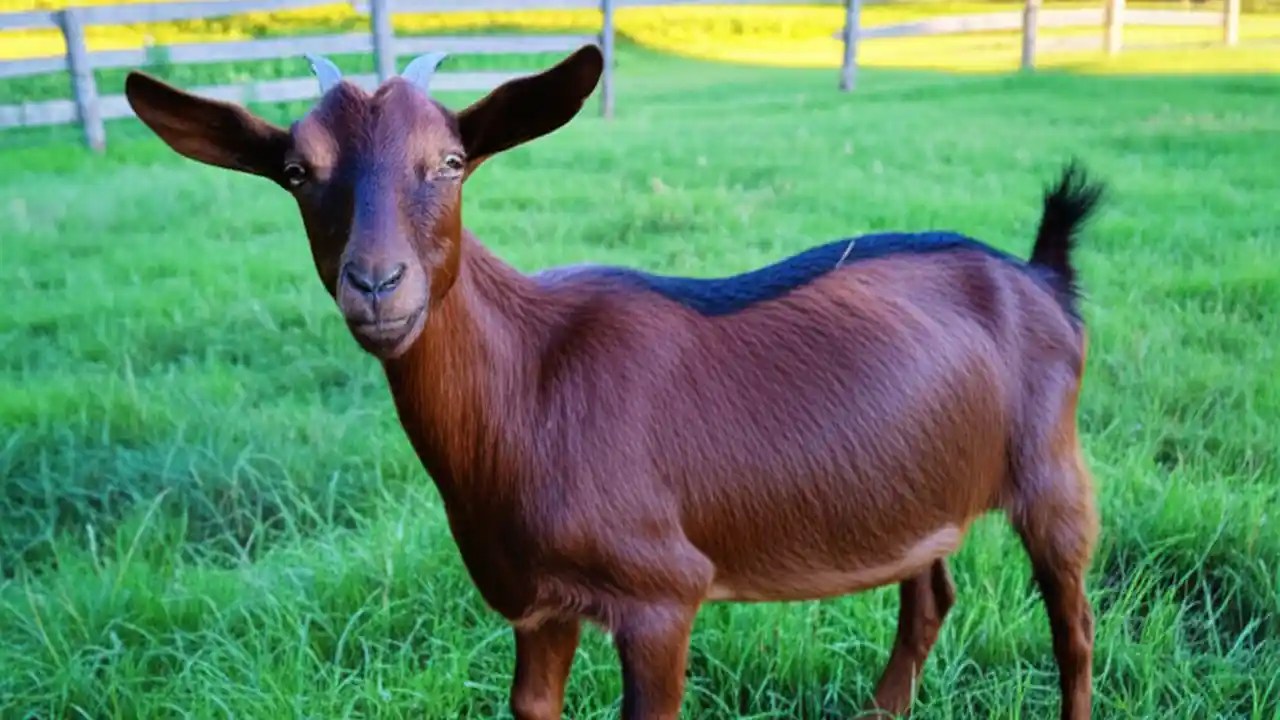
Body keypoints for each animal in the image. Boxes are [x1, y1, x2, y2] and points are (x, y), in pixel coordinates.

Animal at [124, 45, 1104, 720]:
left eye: (450, 161)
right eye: (297, 171)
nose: (376, 283)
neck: (528, 386)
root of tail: (1040, 275)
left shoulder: (663, 595)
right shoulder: (532, 604)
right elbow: (531, 705)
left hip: (1053, 470)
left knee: (1073, 625)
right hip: (915, 490)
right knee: (930, 596)